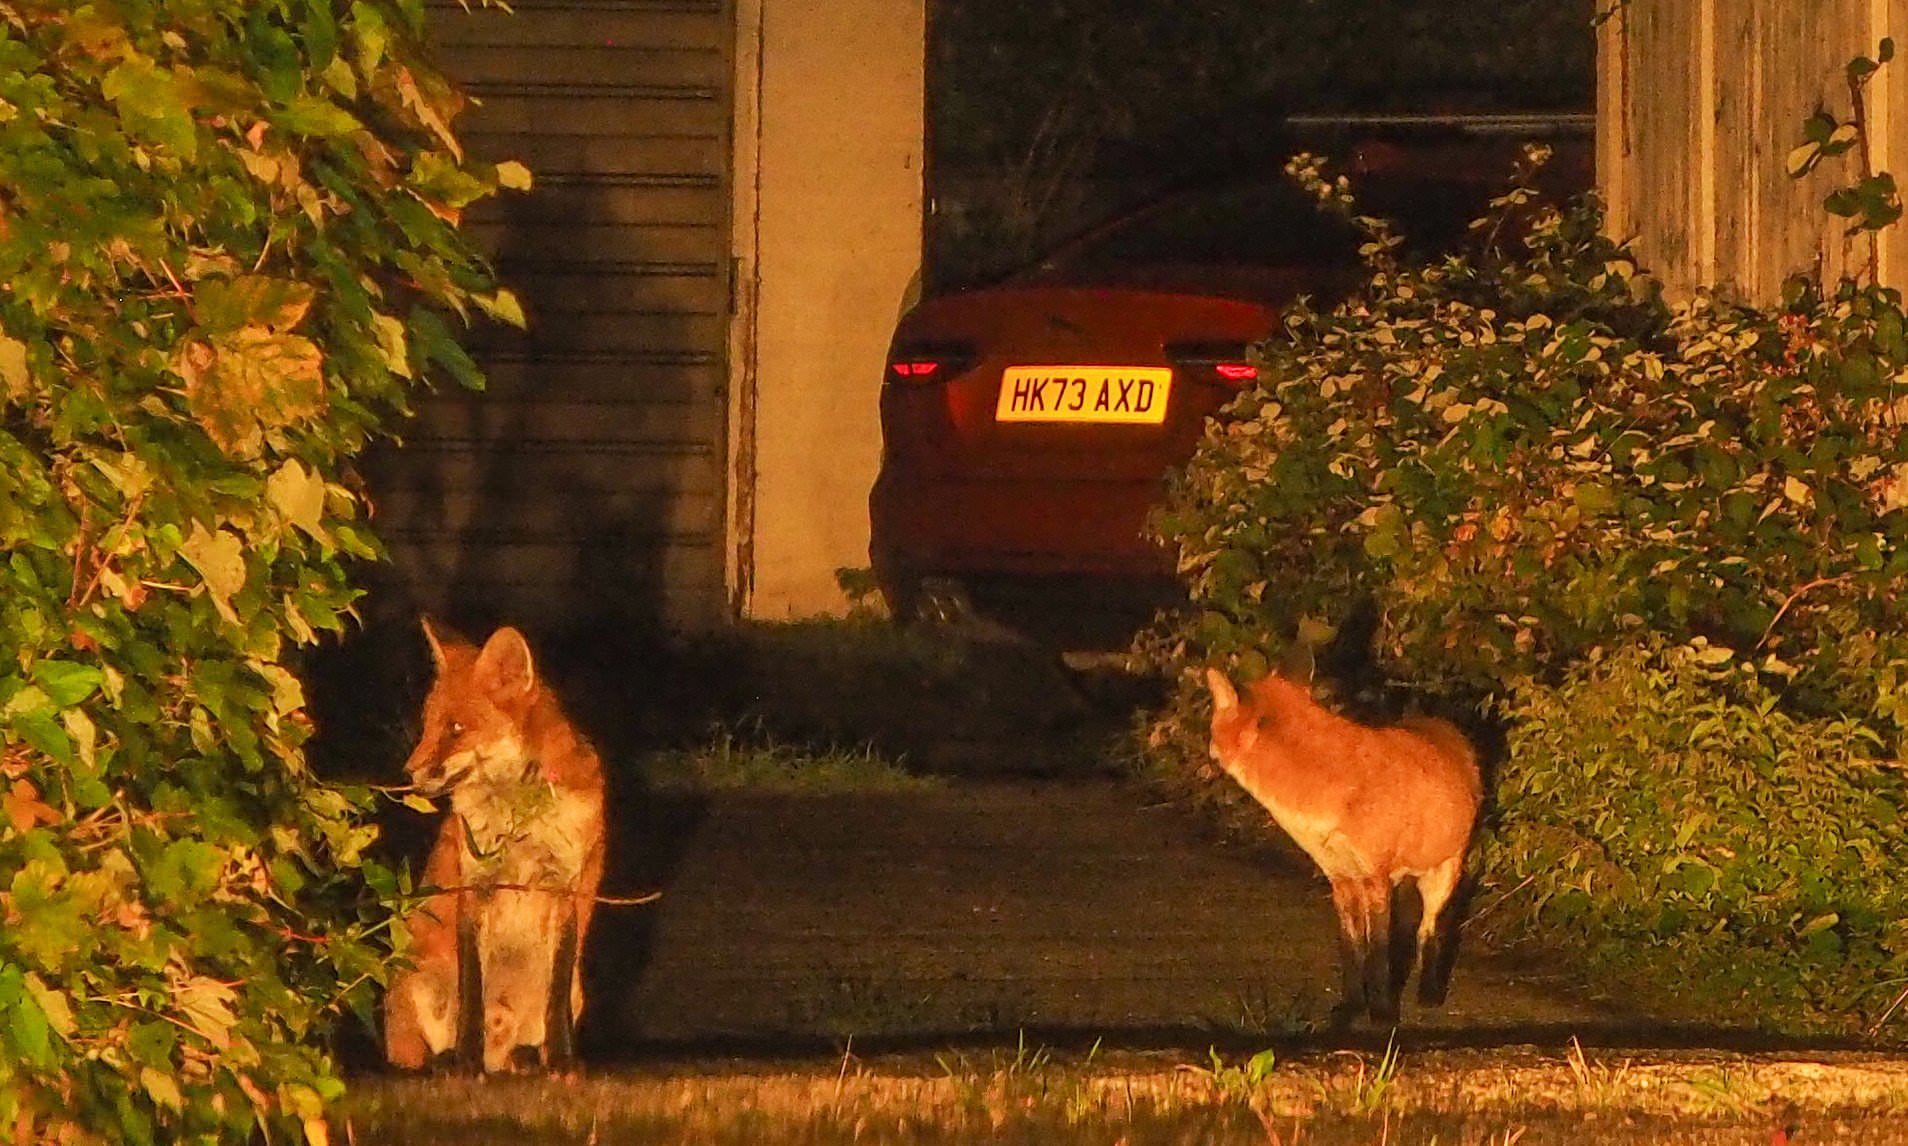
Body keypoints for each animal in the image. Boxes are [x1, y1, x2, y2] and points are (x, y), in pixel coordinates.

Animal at [383, 619, 607, 1073]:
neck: (519, 818)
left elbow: (555, 1000)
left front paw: (562, 1060)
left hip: (576, 991)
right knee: (416, 1052)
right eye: (428, 725)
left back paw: (523, 1057)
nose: (407, 774)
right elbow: (472, 994)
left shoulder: (564, 888)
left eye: (455, 729)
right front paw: (465, 1062)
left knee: (518, 1042)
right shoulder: (476, 886)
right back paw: (448, 1060)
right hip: (421, 981)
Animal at [1205, 652, 1482, 1025]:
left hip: (1442, 876)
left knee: (1428, 931)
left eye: (1214, 728)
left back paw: (1428, 992)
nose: (1209, 750)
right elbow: (1352, 949)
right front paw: (1350, 1006)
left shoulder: (1375, 877)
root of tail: (1445, 726)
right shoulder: (1341, 878)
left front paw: (1381, 1013)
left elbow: (1378, 952)